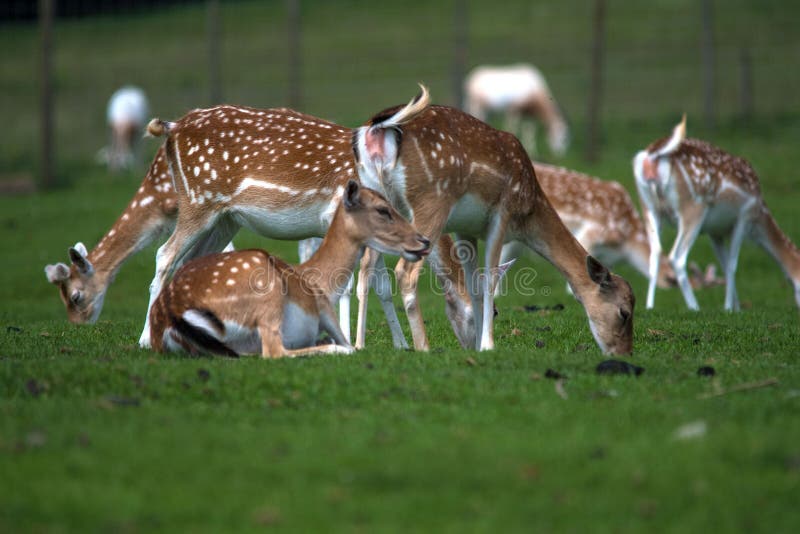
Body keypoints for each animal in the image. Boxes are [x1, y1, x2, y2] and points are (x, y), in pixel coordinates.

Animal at [149, 180, 430, 357]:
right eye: (383, 210)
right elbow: (348, 344)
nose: (423, 241)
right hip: (267, 295)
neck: (321, 281)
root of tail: (172, 315)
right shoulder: (326, 312)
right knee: (274, 351)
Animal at [353, 86, 634, 354]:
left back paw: (360, 345)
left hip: (378, 200)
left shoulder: (464, 228)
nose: (624, 352)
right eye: (624, 312)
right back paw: (423, 347)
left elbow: (473, 284)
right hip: (432, 200)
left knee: (367, 268)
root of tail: (378, 129)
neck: (529, 208)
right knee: (405, 271)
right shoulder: (502, 213)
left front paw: (479, 345)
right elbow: (489, 278)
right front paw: (488, 345)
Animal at [634, 115, 800, 311]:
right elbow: (732, 265)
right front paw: (729, 308)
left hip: (649, 206)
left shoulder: (715, 231)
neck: (760, 218)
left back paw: (649, 306)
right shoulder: (744, 216)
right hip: (693, 206)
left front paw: (736, 307)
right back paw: (694, 307)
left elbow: (724, 262)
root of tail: (653, 155)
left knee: (655, 253)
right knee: (677, 257)